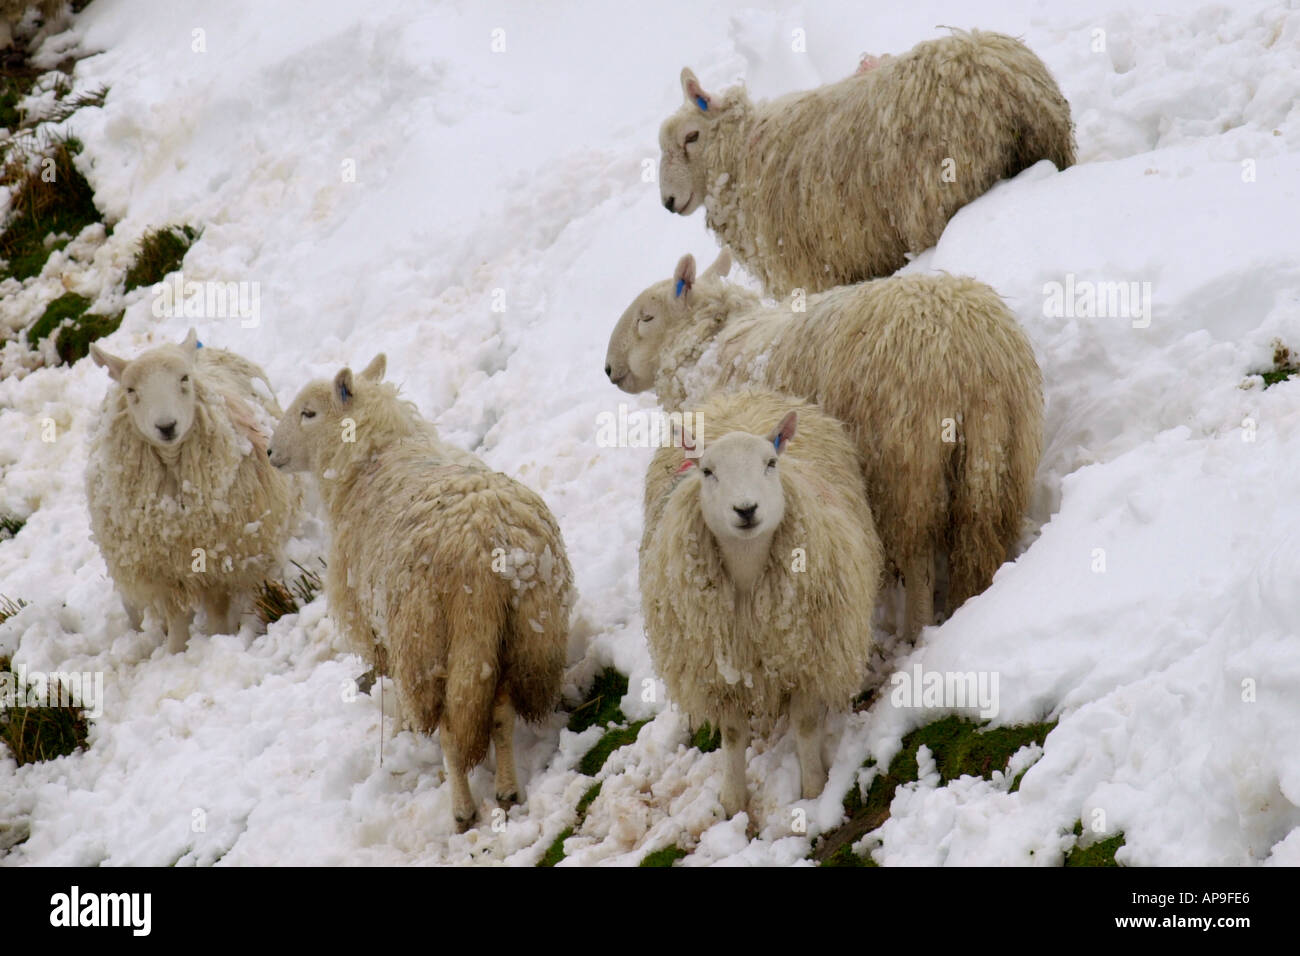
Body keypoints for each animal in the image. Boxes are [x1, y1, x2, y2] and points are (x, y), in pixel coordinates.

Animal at [86, 329, 296, 653]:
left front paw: (220, 638)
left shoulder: (219, 559)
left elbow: (217, 607)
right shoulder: (164, 570)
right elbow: (176, 617)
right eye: (131, 389)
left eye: (184, 378)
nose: (166, 426)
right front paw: (176, 651)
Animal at [268, 354, 573, 831]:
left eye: (309, 413)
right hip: (522, 632)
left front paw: (402, 728)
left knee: (450, 729)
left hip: (431, 642)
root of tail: (484, 548)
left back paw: (463, 810)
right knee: (501, 714)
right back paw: (507, 791)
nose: (269, 453)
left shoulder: (380, 629)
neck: (372, 460)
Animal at [606, 250, 1043, 640]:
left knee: (918, 557)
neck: (706, 347)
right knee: (982, 534)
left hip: (905, 468)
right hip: (999, 457)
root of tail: (965, 349)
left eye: (646, 317)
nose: (609, 369)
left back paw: (915, 631)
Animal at [640, 388, 882, 817]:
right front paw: (733, 802)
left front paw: (814, 788)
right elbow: (733, 735)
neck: (747, 574)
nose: (746, 509)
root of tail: (736, 394)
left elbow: (805, 724)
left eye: (770, 463)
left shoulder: (807, 658)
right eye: (708, 471)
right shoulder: (720, 674)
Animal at [658, 29, 1076, 297]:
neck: (743, 158)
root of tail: (1001, 82)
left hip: (938, 196)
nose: (668, 202)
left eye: (691, 137)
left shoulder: (808, 273)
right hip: (1053, 145)